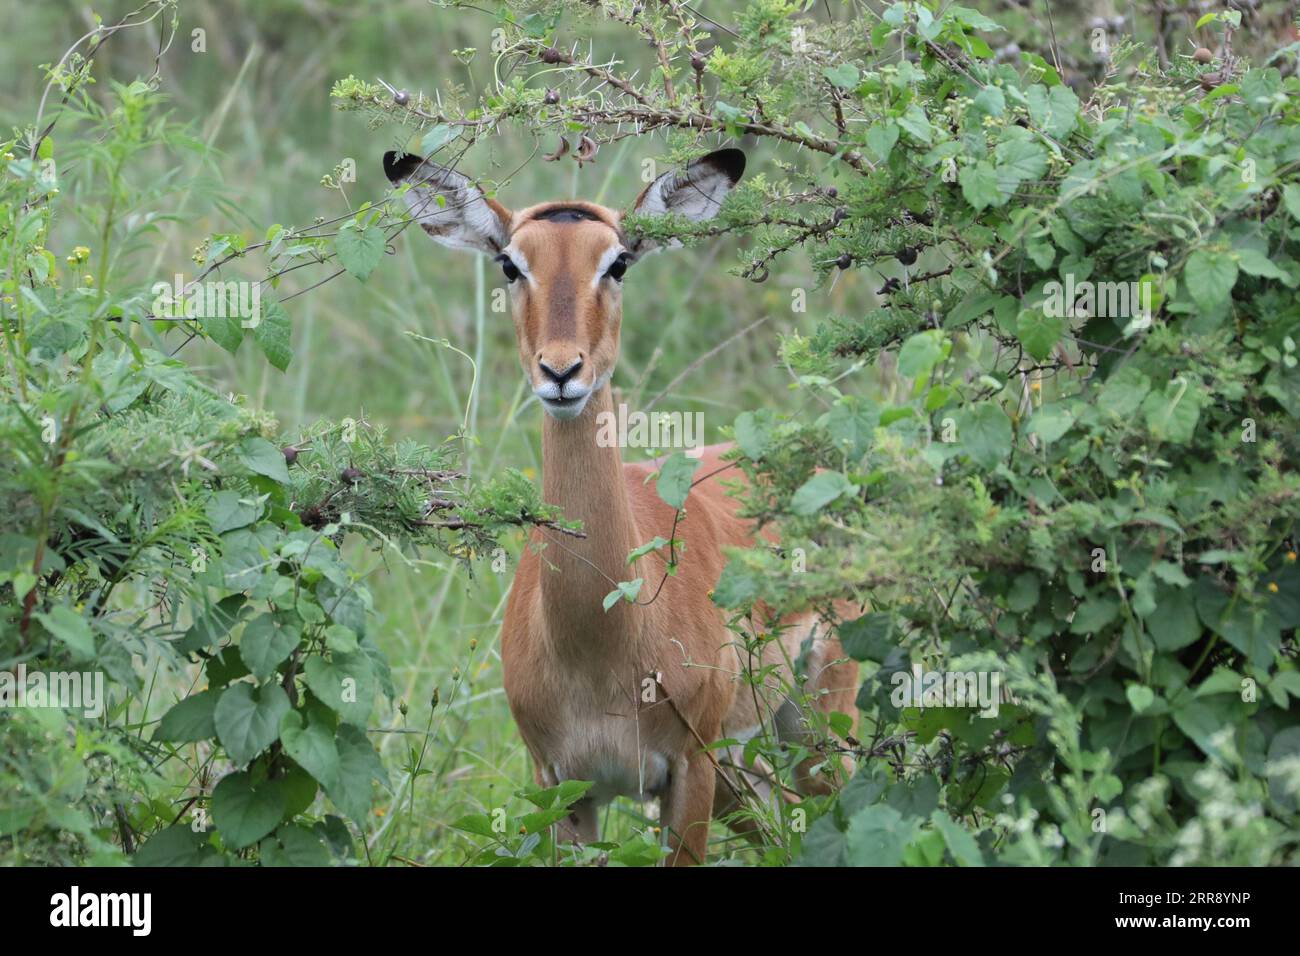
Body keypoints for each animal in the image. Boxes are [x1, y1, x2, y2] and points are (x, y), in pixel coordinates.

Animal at [384, 147, 857, 865]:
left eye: (619, 261)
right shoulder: (563, 788)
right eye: (510, 263)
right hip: (747, 765)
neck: (600, 640)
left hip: (818, 724)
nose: (561, 371)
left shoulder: (689, 768)